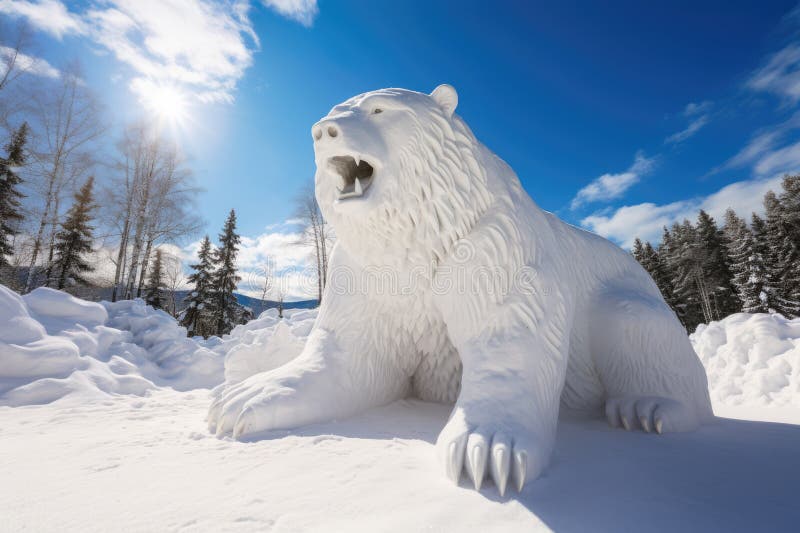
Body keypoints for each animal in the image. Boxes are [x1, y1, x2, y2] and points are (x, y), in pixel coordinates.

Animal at [208, 84, 713, 495]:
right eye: (335, 109)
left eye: (378, 109)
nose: (322, 130)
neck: (418, 237)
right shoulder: (367, 271)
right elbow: (351, 356)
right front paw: (240, 399)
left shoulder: (492, 244)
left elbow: (508, 336)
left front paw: (487, 450)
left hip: (625, 294)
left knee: (634, 325)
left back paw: (646, 408)